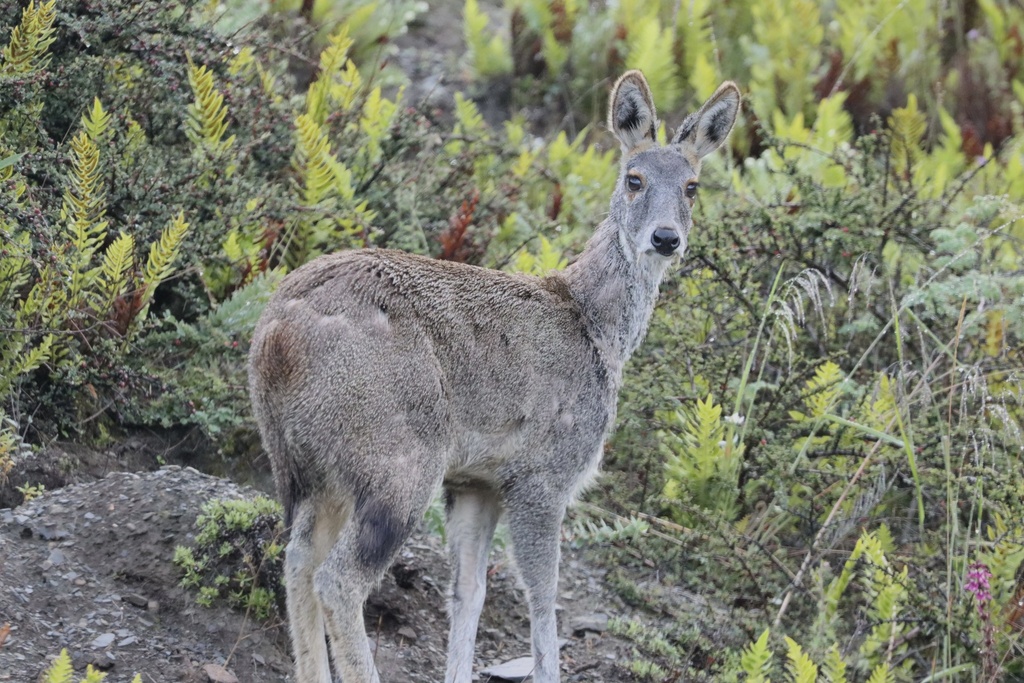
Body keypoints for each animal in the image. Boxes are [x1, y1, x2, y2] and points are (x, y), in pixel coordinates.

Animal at [248, 70, 740, 683]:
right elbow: (543, 599)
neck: (596, 327)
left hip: (313, 466)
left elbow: (469, 593)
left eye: (693, 186)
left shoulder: (476, 480)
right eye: (634, 178)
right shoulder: (543, 474)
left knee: (296, 558)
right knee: (338, 580)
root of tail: (275, 339)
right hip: (395, 456)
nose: (666, 237)